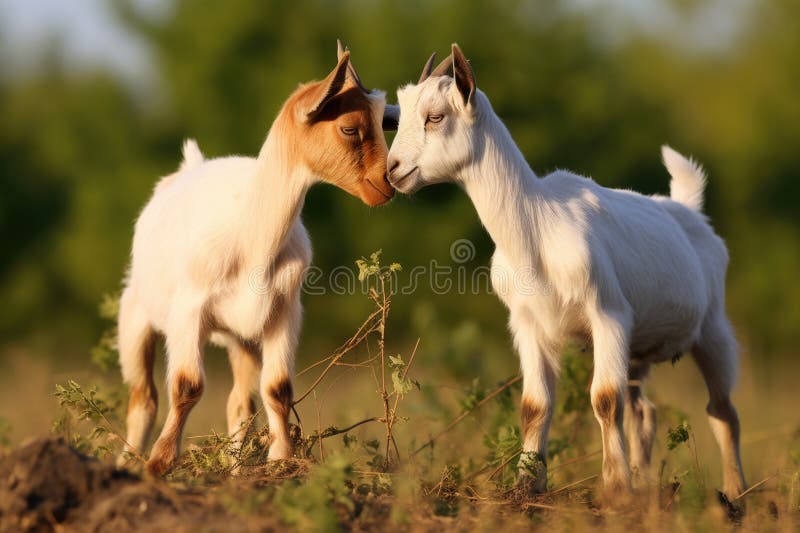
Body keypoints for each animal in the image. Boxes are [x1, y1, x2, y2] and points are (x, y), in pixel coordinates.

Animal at [118, 41, 398, 476]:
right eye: (350, 127)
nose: (387, 182)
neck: (252, 241)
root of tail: (192, 165)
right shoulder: (188, 313)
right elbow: (187, 385)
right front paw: (159, 464)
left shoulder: (283, 312)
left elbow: (277, 388)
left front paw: (280, 460)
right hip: (136, 314)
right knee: (143, 397)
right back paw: (128, 461)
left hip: (241, 336)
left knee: (240, 401)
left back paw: (234, 469)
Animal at [387, 44, 745, 500]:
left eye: (435, 116)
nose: (392, 169)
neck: (535, 228)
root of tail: (689, 209)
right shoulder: (527, 324)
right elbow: (535, 406)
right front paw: (527, 484)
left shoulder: (608, 314)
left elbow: (605, 399)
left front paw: (615, 488)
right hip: (639, 348)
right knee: (644, 412)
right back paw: (650, 487)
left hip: (713, 327)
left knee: (722, 410)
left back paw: (735, 493)